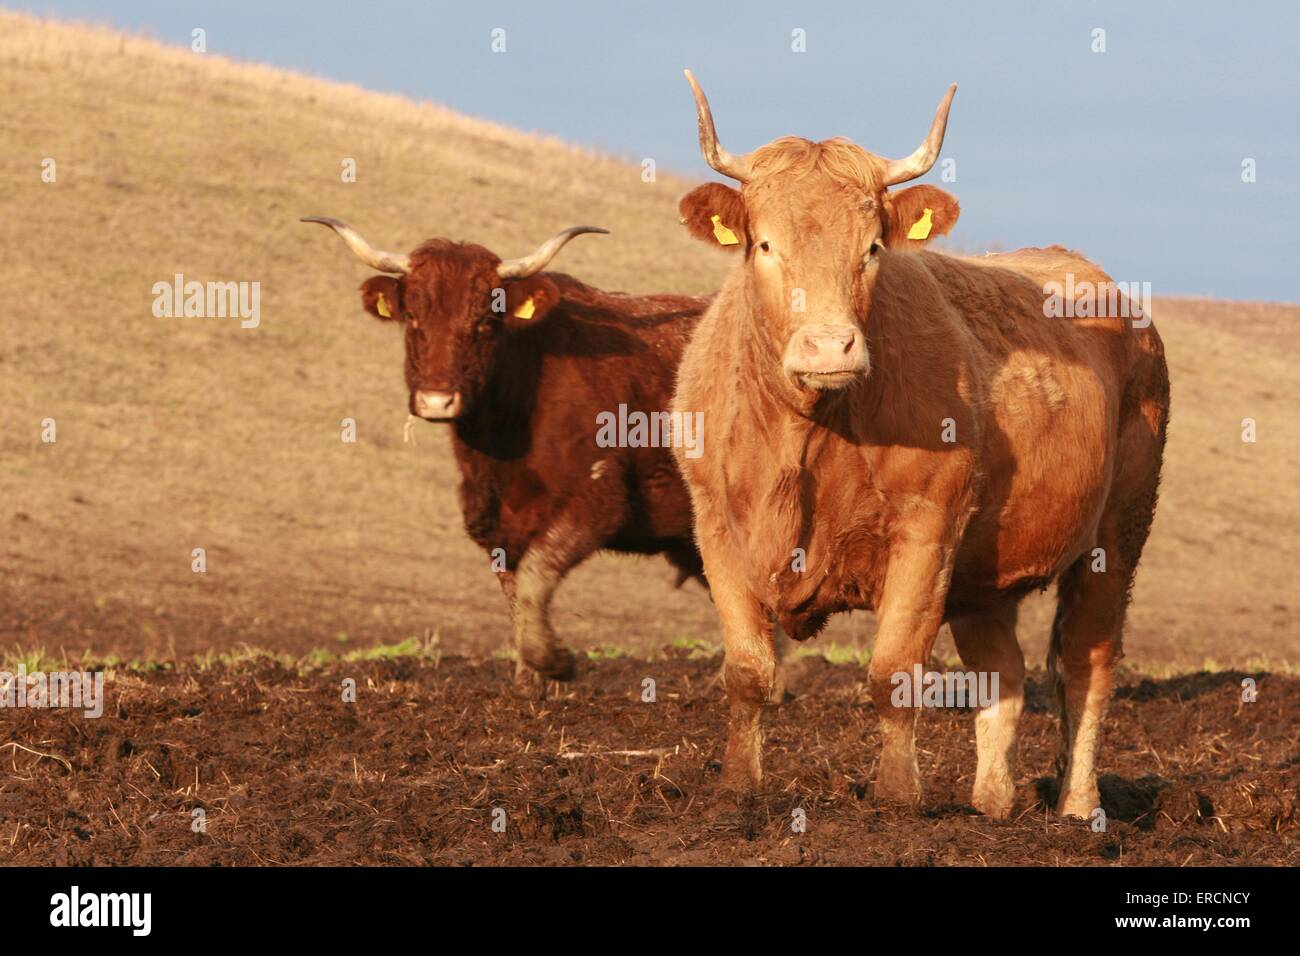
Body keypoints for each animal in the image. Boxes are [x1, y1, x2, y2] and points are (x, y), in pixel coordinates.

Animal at [304, 217, 713, 697]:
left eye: (484, 321)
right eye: (413, 317)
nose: (436, 400)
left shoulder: (595, 502)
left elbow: (535, 578)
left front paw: (555, 660)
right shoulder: (495, 521)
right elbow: (517, 597)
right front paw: (526, 689)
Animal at [670, 72, 1169, 819]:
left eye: (872, 248)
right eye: (764, 245)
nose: (829, 347)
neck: (808, 437)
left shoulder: (928, 529)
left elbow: (893, 670)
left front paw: (898, 798)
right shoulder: (717, 527)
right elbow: (749, 670)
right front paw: (737, 789)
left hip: (1119, 532)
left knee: (1086, 662)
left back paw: (1078, 808)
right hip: (986, 572)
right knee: (1003, 671)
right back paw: (991, 804)